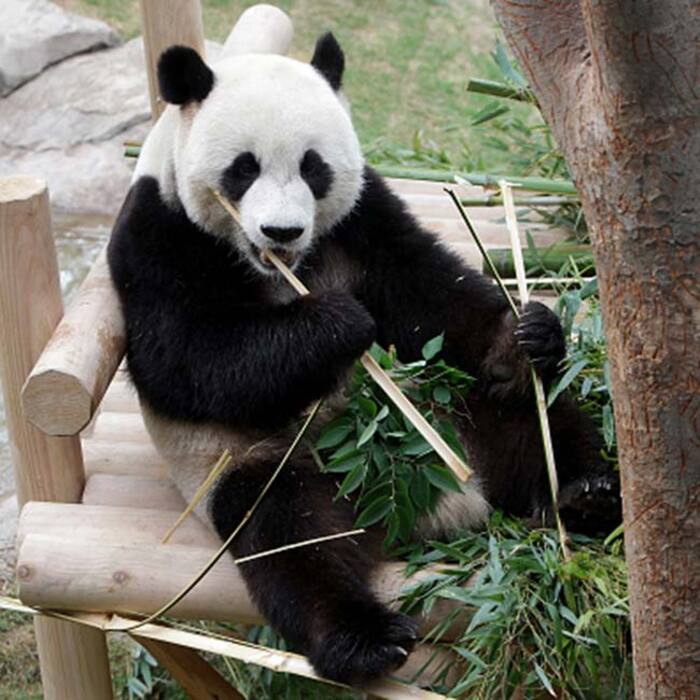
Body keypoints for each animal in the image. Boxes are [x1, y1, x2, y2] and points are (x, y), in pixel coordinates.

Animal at [107, 33, 620, 684]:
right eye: (244, 167)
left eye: (313, 166)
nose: (282, 231)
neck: (279, 269)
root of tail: (429, 510)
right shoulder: (158, 235)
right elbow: (187, 361)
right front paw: (339, 325)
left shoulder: (363, 215)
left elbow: (427, 288)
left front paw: (525, 333)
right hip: (256, 467)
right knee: (293, 541)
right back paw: (362, 639)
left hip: (461, 408)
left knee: (537, 416)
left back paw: (586, 492)